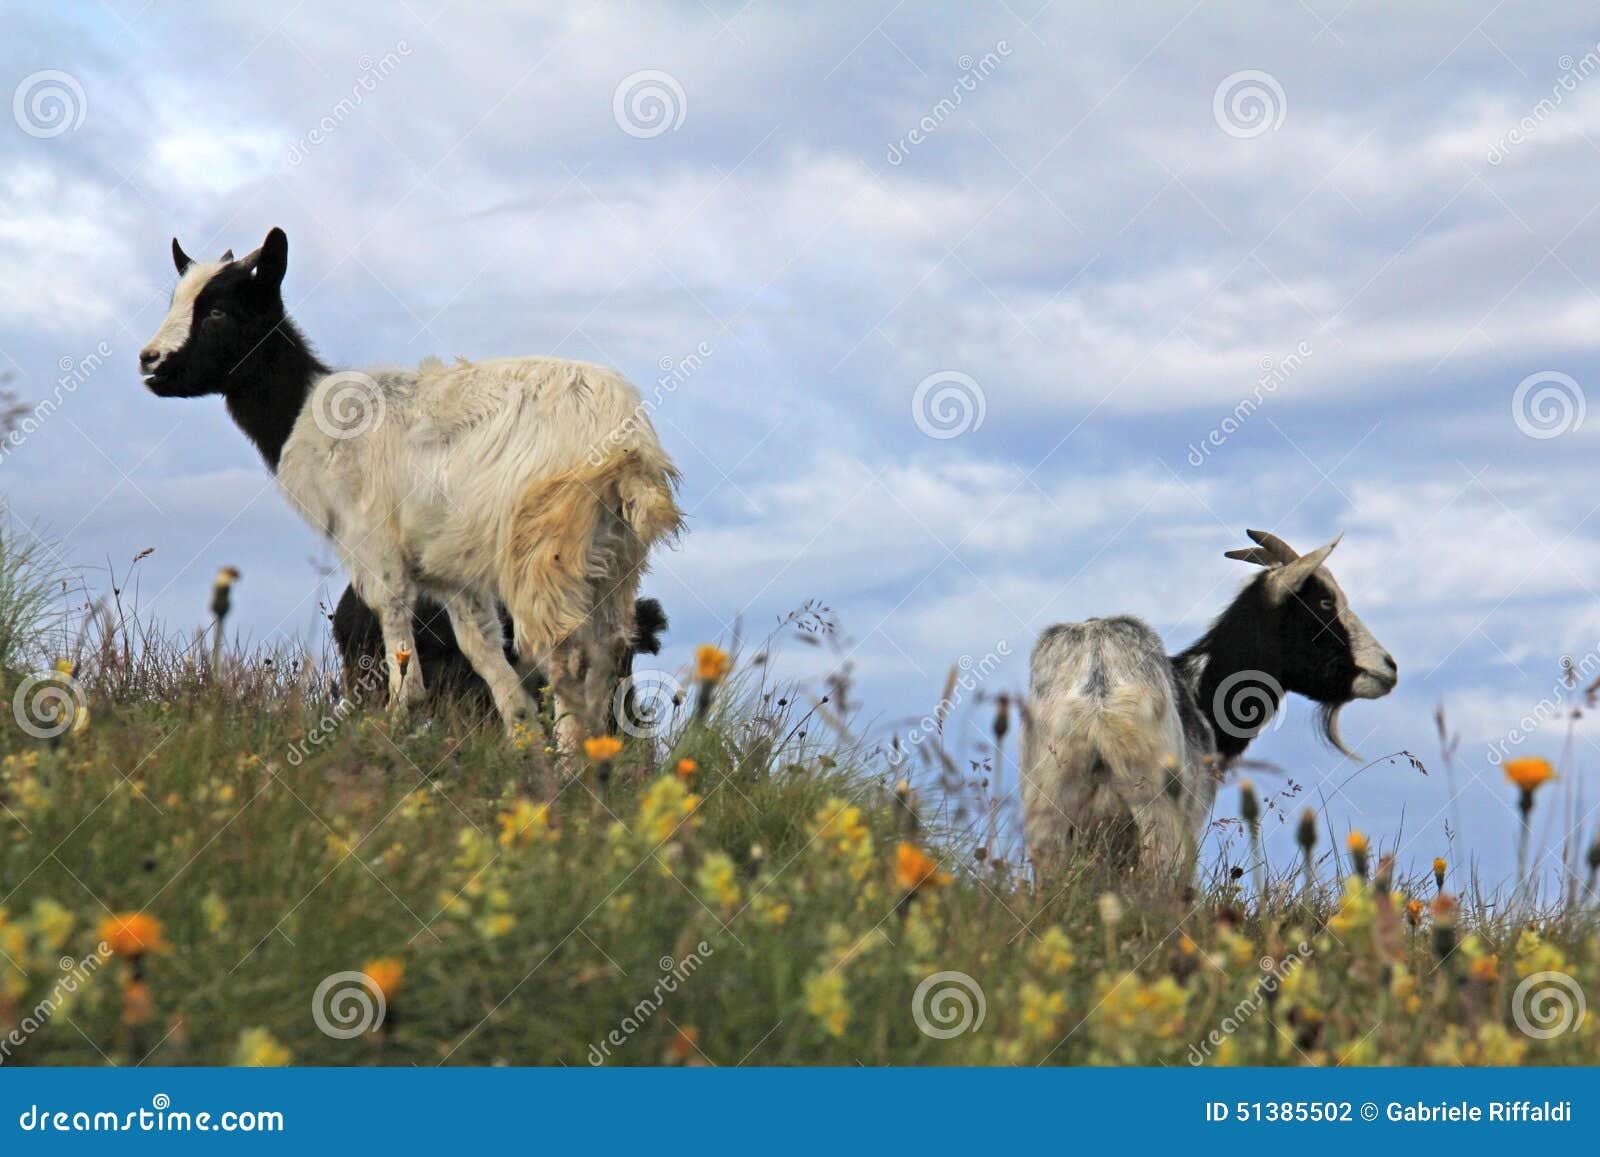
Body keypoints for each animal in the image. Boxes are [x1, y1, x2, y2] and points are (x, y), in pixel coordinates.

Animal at [1021, 529, 1397, 879]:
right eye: (1324, 603)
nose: (1388, 666)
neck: (1198, 690)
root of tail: (1097, 677)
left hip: (1047, 801)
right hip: (1157, 806)